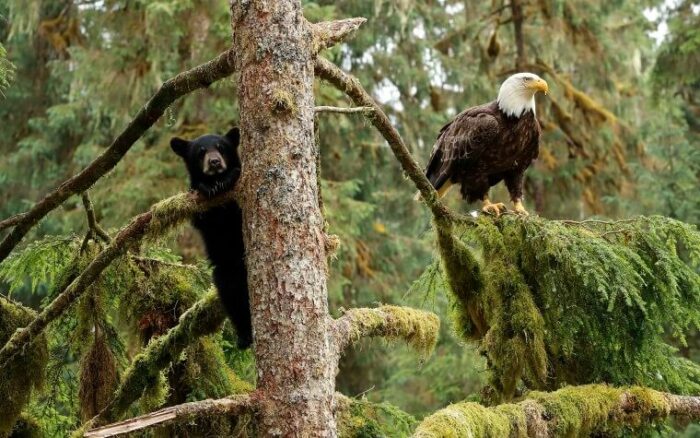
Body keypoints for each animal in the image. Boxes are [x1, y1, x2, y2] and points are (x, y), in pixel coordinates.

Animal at [170, 127, 252, 348]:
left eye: (221, 147)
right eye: (201, 152)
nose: (214, 162)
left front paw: (229, 176)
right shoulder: (197, 208)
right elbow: (203, 219)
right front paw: (206, 186)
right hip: (227, 270)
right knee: (233, 296)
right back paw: (245, 335)